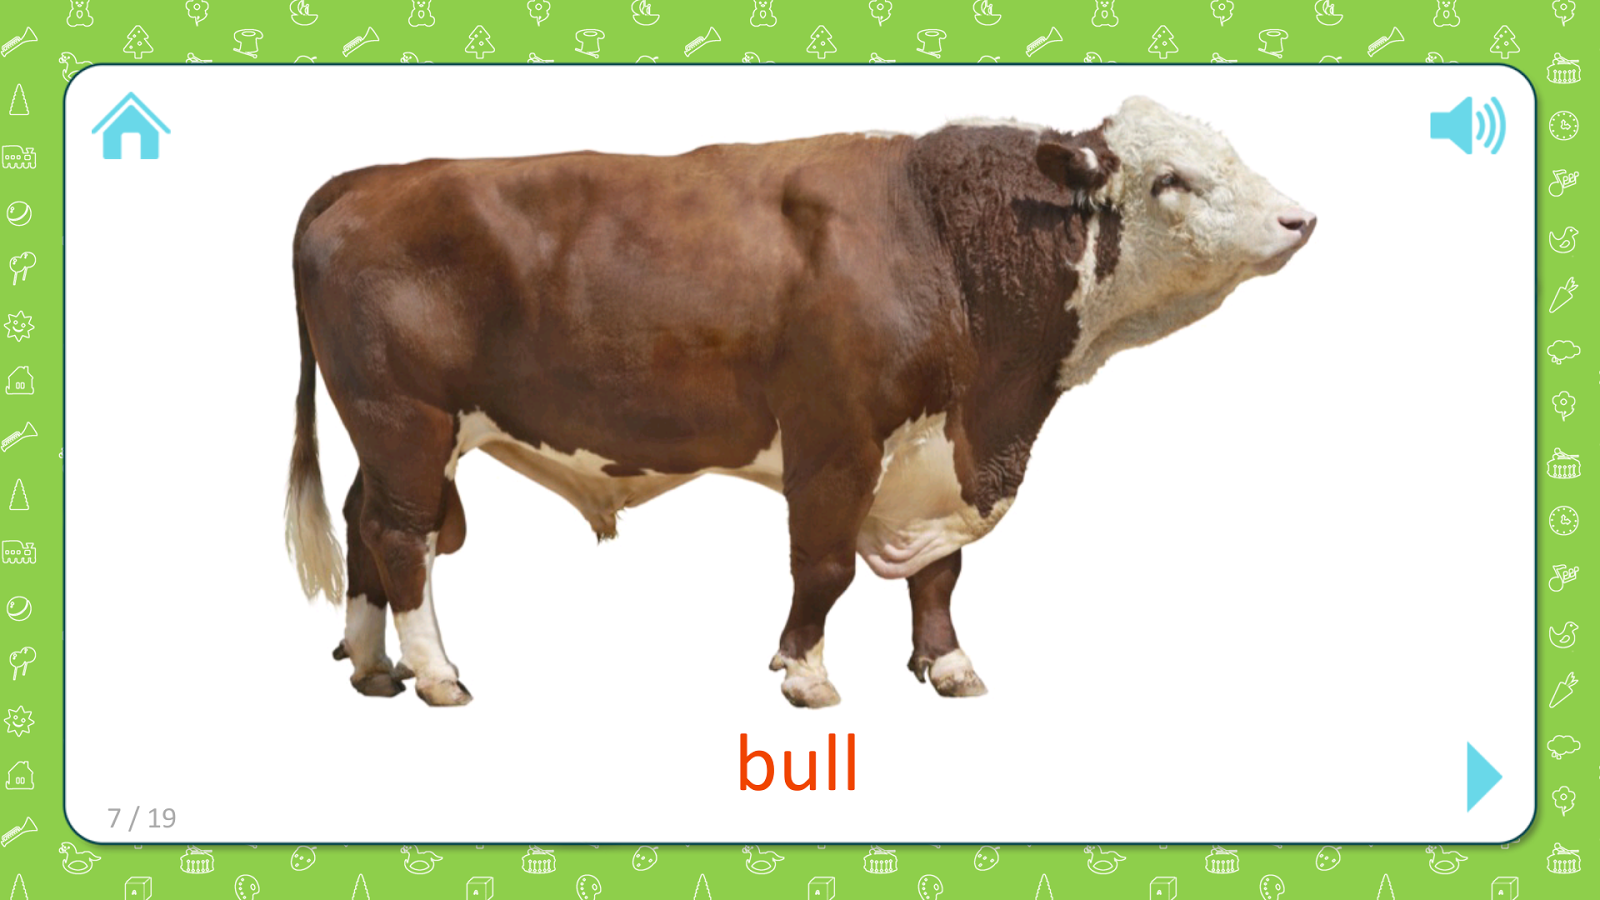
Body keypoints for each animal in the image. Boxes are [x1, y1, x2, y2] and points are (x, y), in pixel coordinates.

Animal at [285, 96, 1315, 707]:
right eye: (1170, 179)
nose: (1298, 217)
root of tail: (372, 177)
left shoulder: (932, 455)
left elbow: (938, 576)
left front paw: (947, 664)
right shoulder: (836, 440)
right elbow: (823, 566)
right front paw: (804, 672)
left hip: (387, 432)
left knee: (368, 521)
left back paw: (372, 665)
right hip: (406, 419)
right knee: (405, 535)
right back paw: (437, 673)